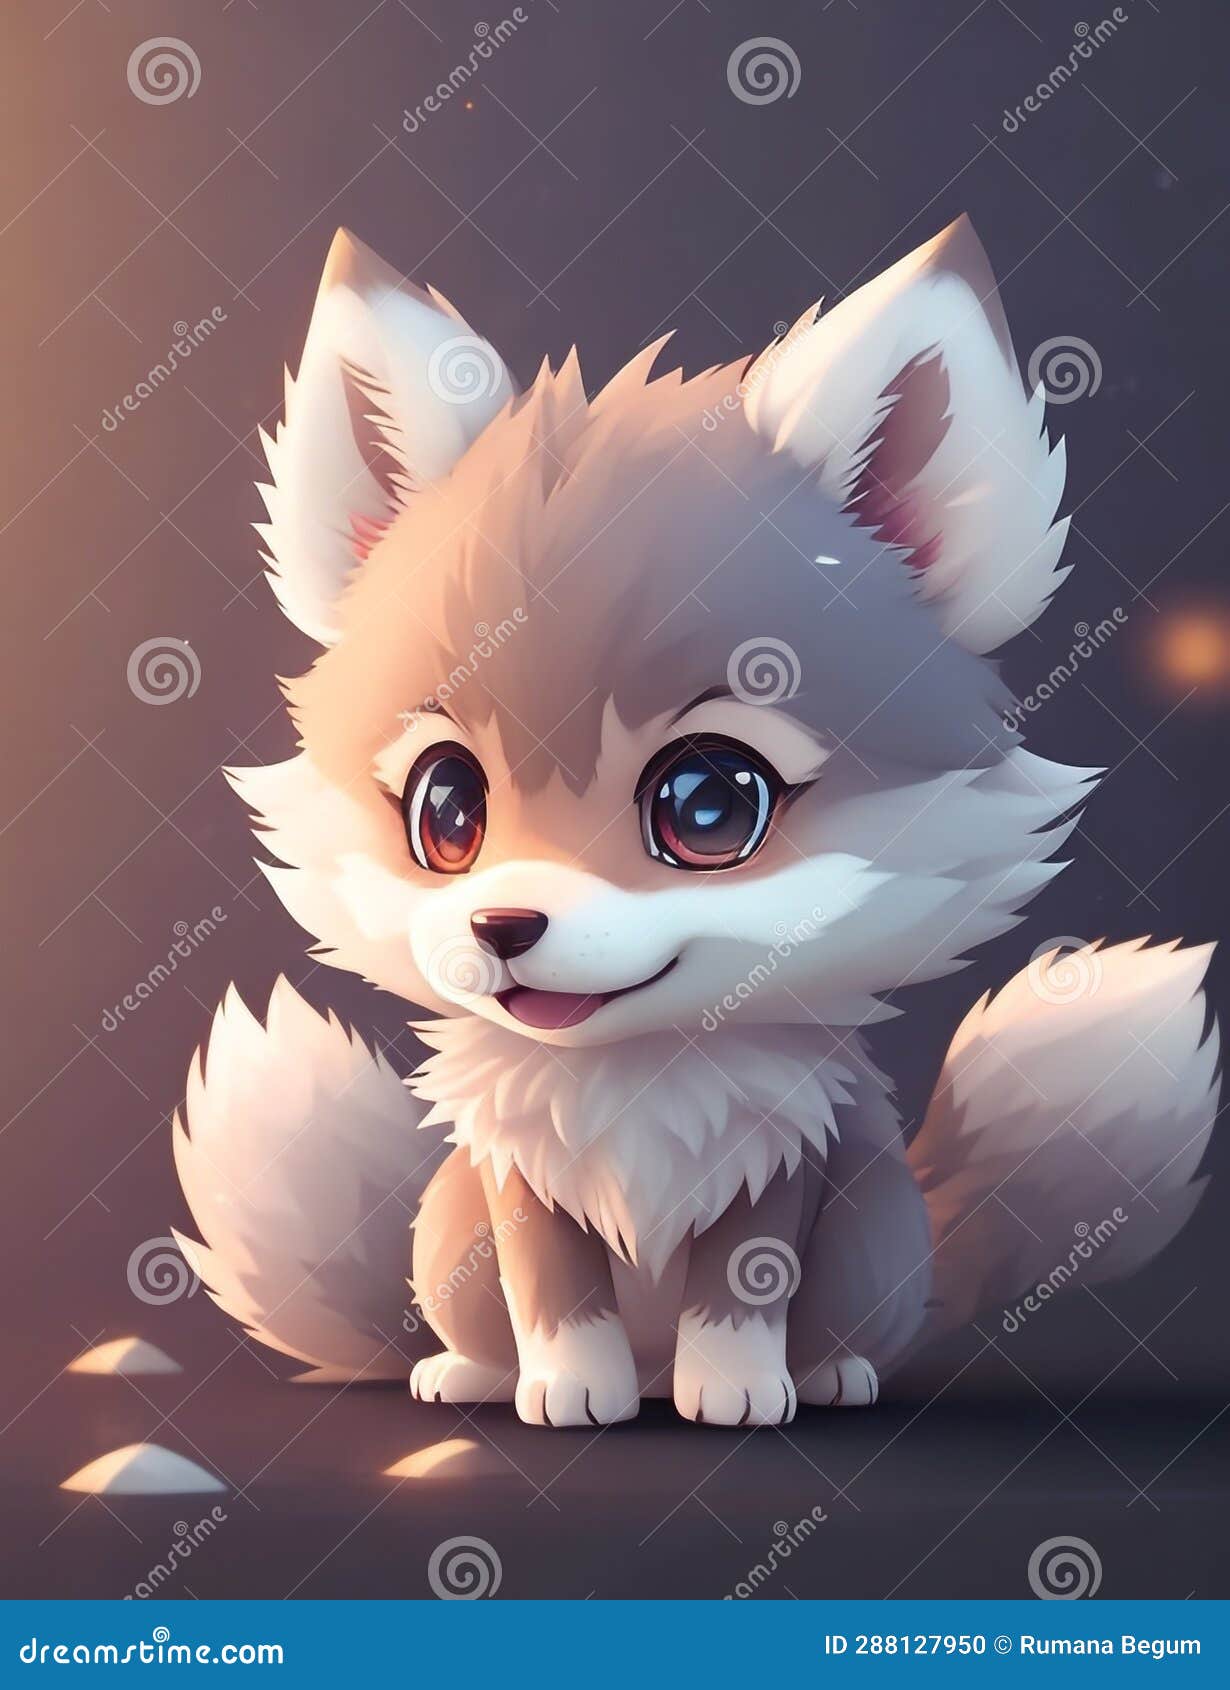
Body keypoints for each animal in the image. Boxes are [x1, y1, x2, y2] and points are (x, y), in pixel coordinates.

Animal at [174, 218, 1218, 1427]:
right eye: (448, 809)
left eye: (710, 805)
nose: (501, 927)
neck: (635, 1080)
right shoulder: (517, 1176)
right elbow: (550, 1284)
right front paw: (570, 1386)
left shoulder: (782, 1161)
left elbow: (741, 1282)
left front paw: (736, 1387)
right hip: (444, 1228)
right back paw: (479, 1373)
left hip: (875, 1222)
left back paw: (828, 1376)